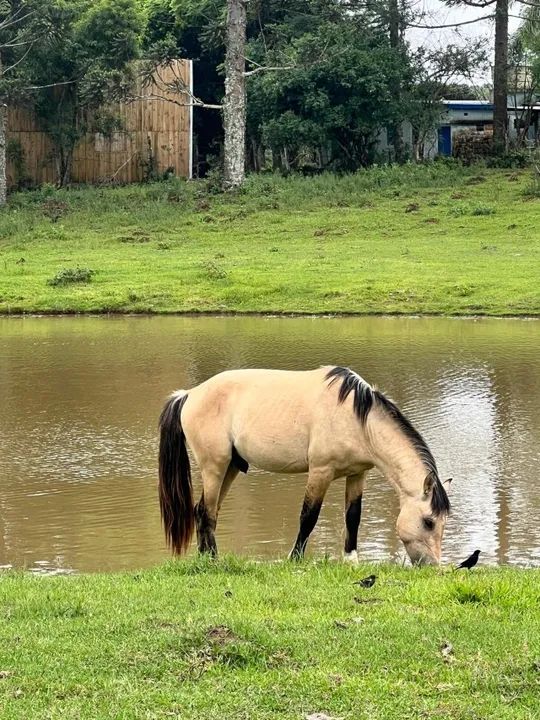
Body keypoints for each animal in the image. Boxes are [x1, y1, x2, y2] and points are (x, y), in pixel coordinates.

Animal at [158, 366, 451, 565]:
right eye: (428, 522)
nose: (432, 566)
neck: (357, 420)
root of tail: (189, 394)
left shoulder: (358, 474)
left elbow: (353, 516)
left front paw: (351, 560)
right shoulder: (320, 472)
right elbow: (308, 517)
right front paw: (295, 559)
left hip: (229, 467)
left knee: (204, 512)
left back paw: (206, 558)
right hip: (214, 467)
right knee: (206, 512)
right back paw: (213, 560)